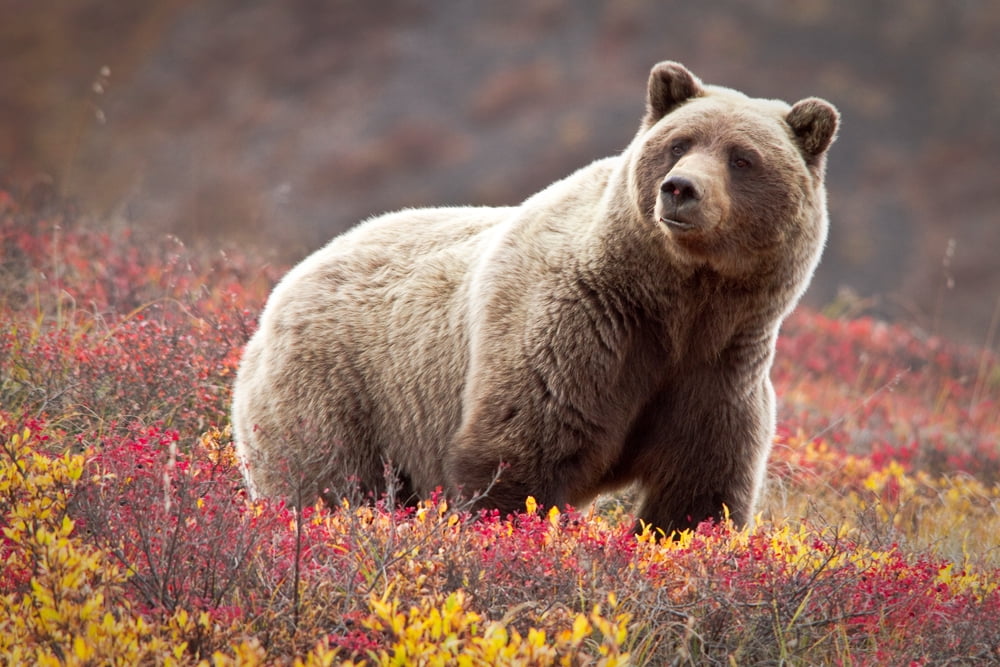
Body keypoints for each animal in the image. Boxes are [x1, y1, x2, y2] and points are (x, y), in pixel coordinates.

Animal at [231, 61, 838, 534]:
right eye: (678, 144)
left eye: (742, 157)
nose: (680, 189)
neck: (677, 304)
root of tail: (283, 288)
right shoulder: (578, 332)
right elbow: (519, 460)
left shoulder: (719, 370)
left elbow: (699, 494)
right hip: (338, 391)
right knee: (327, 483)